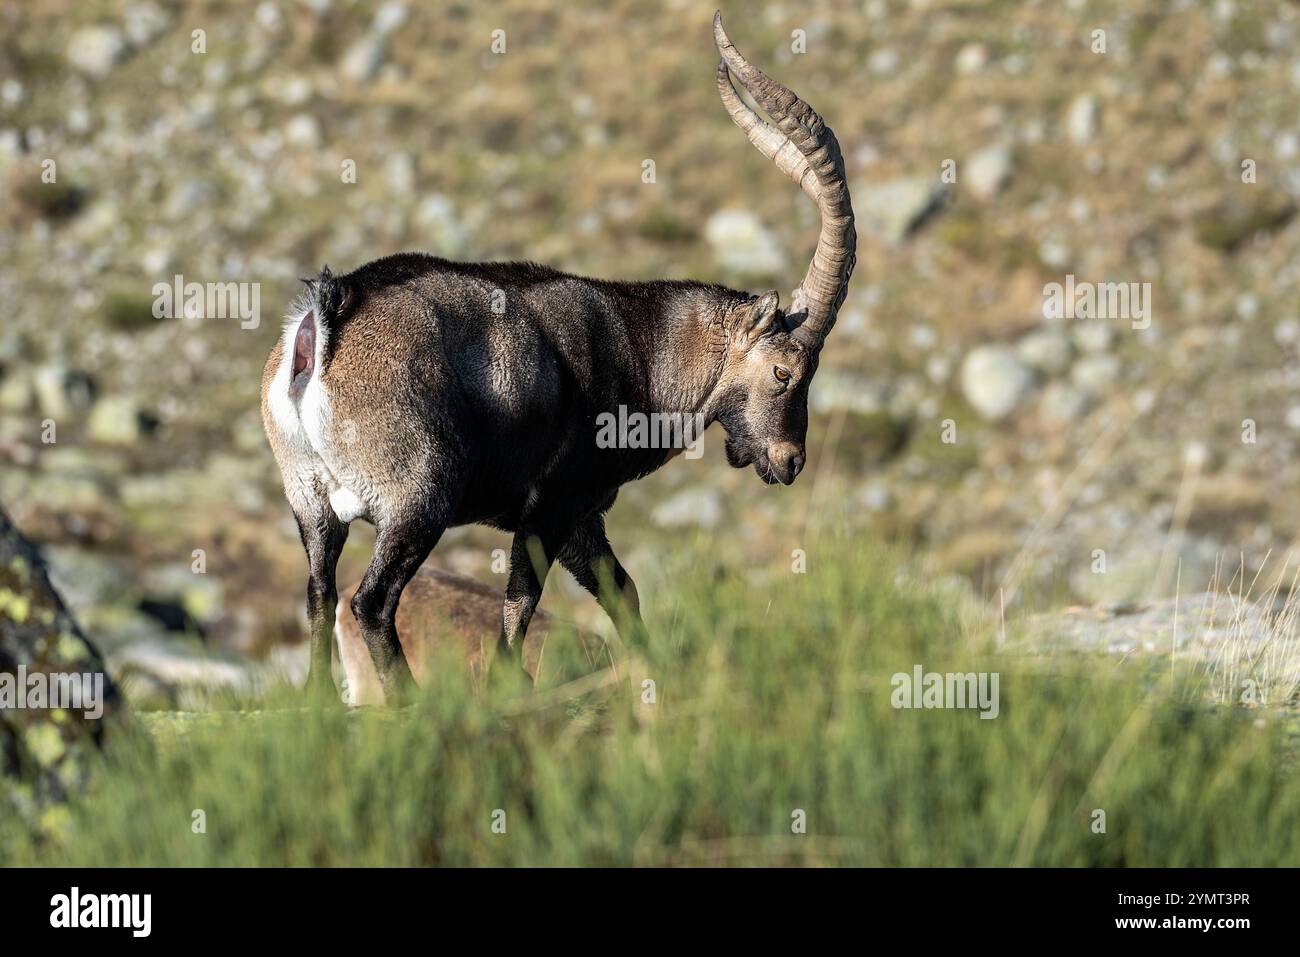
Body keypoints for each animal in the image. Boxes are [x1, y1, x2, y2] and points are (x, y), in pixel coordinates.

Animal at [261, 12, 856, 703]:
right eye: (786, 371)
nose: (790, 462)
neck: (643, 349)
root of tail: (324, 326)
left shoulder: (580, 522)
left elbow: (622, 593)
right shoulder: (550, 508)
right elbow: (520, 606)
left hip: (308, 498)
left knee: (319, 590)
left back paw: (317, 701)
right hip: (417, 497)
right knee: (370, 600)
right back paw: (410, 699)